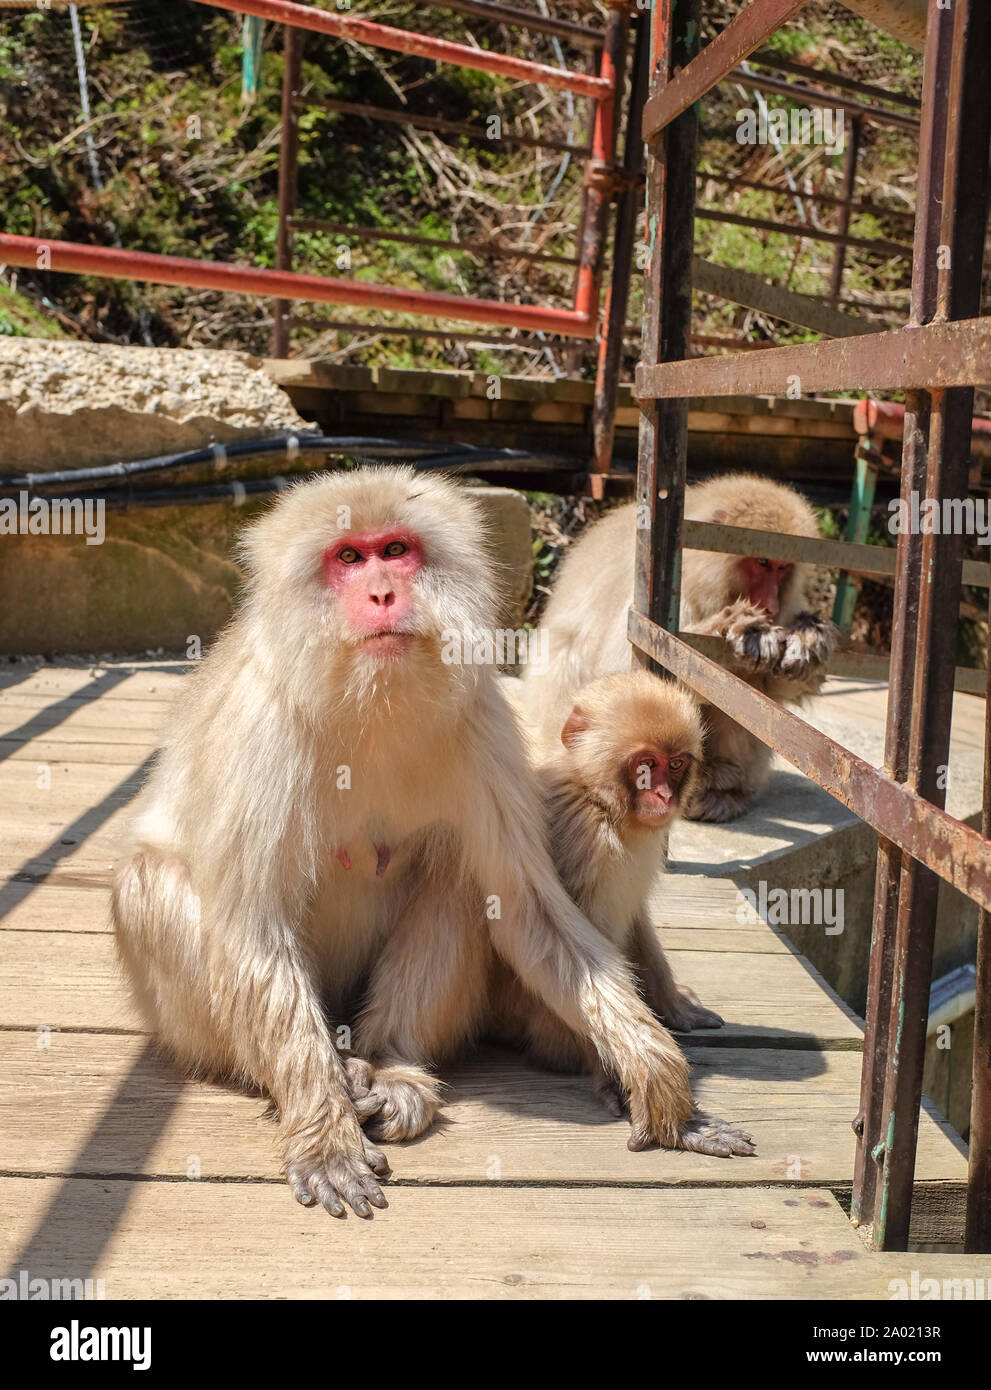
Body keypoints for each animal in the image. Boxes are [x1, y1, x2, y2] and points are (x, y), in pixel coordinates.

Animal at [479, 671, 754, 1156]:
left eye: (675, 764)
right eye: (645, 764)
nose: (663, 795)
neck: (602, 802)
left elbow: (635, 920)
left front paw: (674, 1004)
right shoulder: (588, 843)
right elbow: (579, 966)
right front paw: (623, 1082)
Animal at [524, 473, 837, 823]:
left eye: (783, 568)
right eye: (762, 562)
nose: (769, 604)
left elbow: (771, 695)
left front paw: (809, 638)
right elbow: (626, 675)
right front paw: (730, 625)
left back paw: (724, 788)